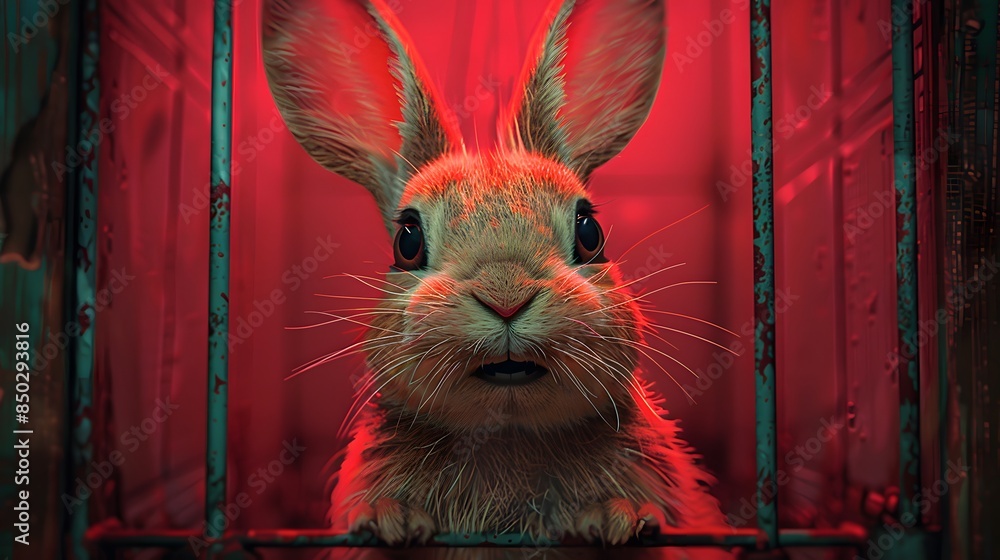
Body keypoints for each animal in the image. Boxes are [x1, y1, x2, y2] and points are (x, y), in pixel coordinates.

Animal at [262, 0, 731, 553]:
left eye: (590, 231)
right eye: (407, 242)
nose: (506, 297)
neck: (508, 432)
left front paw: (620, 518)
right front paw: (389, 521)